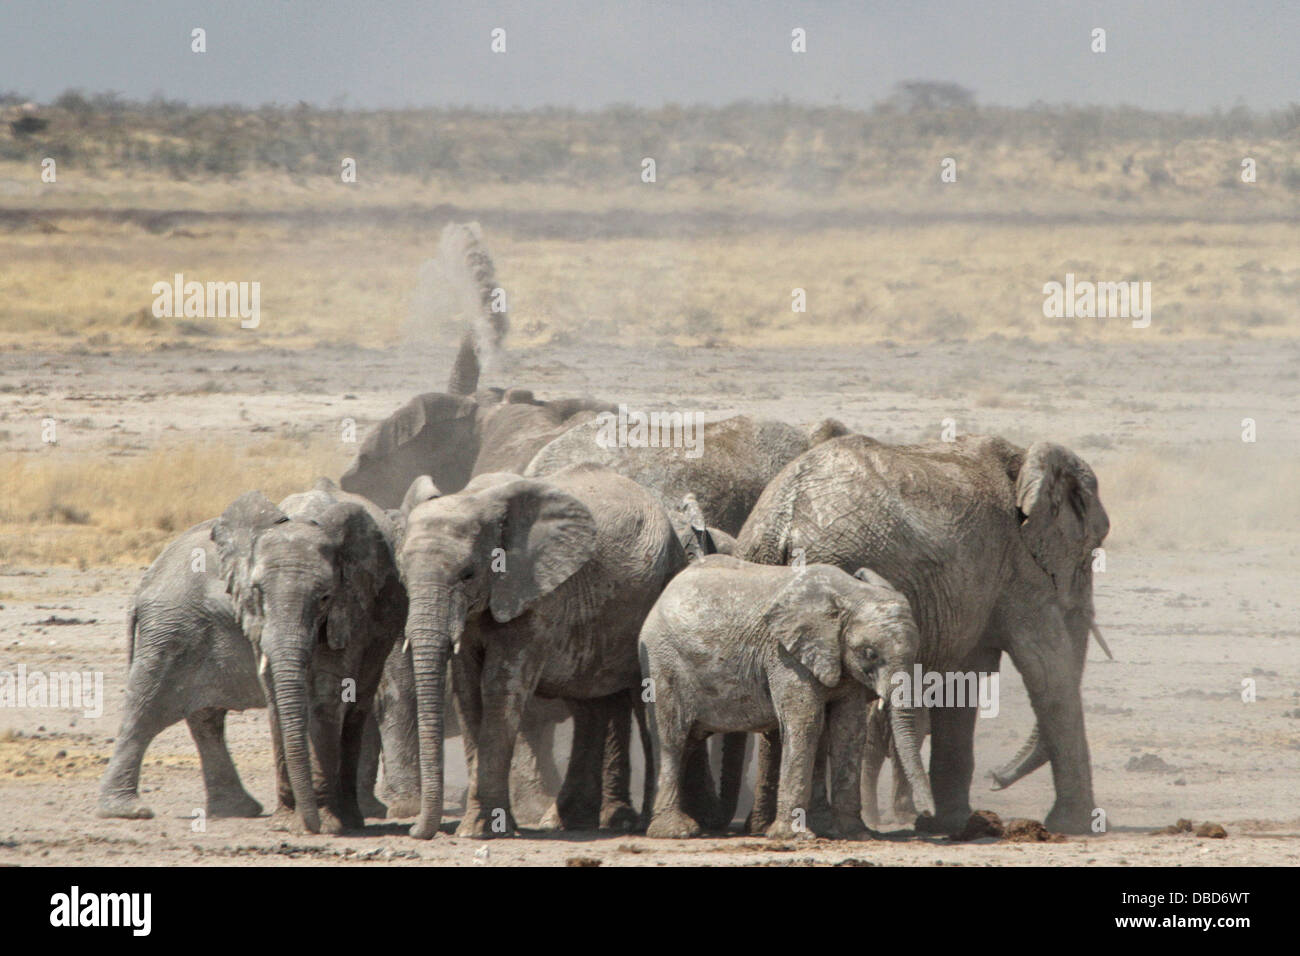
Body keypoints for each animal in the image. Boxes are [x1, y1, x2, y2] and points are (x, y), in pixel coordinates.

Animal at [394, 464, 687, 839]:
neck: (474, 498)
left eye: (468, 574)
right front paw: (491, 826)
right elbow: (468, 692)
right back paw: (569, 821)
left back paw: (643, 824)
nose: (416, 831)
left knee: (641, 696)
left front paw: (478, 830)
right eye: (402, 573)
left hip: (661, 581)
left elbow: (500, 690)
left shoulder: (534, 592)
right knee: (590, 705)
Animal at [639, 556, 933, 840]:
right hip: (662, 664)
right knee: (672, 737)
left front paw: (855, 834)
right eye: (870, 653)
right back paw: (675, 831)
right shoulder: (784, 656)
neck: (848, 594)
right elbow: (806, 723)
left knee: (688, 741)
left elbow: (848, 729)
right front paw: (792, 837)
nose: (927, 814)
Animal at [734, 434, 1109, 835]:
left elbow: (962, 680)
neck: (1024, 462)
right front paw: (1074, 825)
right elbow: (1048, 672)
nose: (996, 778)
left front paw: (953, 824)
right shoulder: (1018, 571)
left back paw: (766, 827)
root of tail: (782, 522)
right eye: (1089, 552)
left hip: (757, 562)